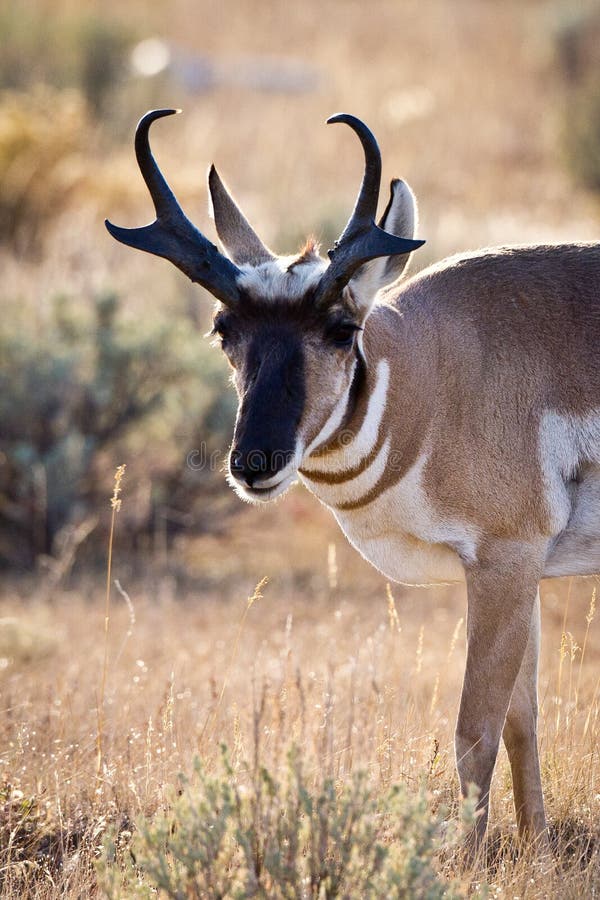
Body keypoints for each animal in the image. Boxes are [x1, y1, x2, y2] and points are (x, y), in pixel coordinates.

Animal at [106, 108, 600, 848]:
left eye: (341, 328)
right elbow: (522, 724)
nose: (253, 462)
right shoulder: (520, 574)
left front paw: (466, 861)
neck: (444, 365)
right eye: (224, 327)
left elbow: (476, 732)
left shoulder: (505, 563)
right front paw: (536, 850)